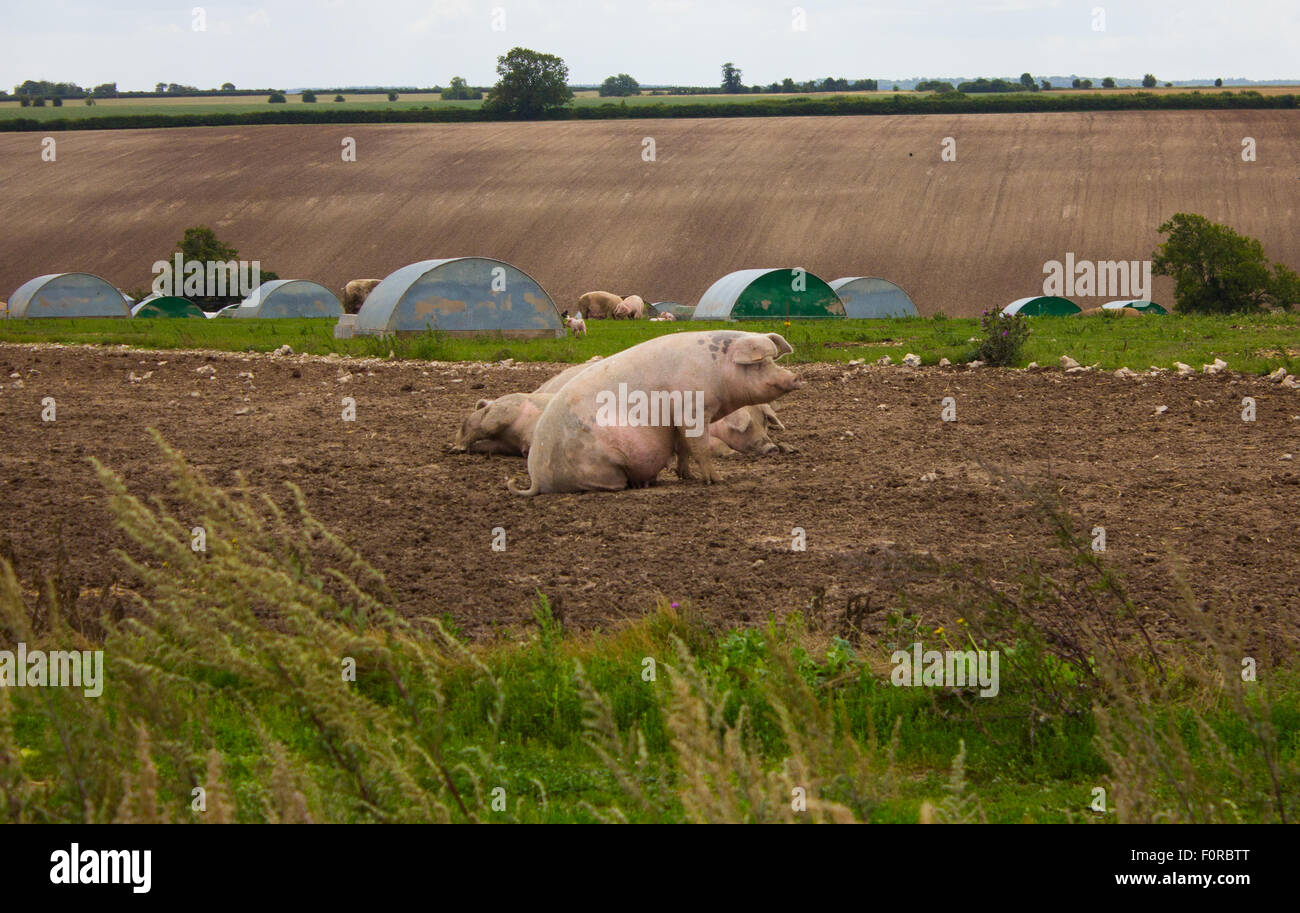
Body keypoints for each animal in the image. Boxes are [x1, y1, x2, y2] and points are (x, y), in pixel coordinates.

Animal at [508, 331, 802, 495]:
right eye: (761, 363)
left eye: (773, 358)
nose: (796, 377)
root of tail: (536, 478)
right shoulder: (692, 408)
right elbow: (699, 446)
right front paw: (717, 480)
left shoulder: (678, 417)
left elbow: (683, 446)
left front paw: (687, 477)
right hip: (600, 465)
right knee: (612, 482)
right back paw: (640, 485)